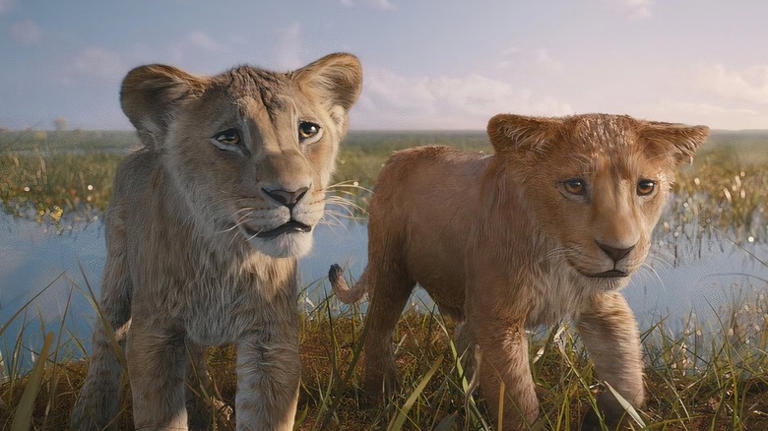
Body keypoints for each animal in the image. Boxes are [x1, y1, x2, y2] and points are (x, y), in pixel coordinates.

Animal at [70, 53, 362, 431]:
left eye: (308, 130)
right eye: (230, 137)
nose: (291, 194)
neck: (227, 255)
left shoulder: (272, 341)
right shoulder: (154, 336)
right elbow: (159, 413)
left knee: (193, 354)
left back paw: (208, 406)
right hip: (117, 273)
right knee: (106, 335)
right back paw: (89, 413)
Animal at [330, 113, 708, 429]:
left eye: (646, 187)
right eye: (574, 185)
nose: (619, 251)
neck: (556, 258)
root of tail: (400, 154)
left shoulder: (602, 306)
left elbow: (629, 380)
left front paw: (602, 418)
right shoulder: (500, 318)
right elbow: (517, 399)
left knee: (464, 339)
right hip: (390, 266)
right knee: (379, 329)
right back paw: (382, 397)